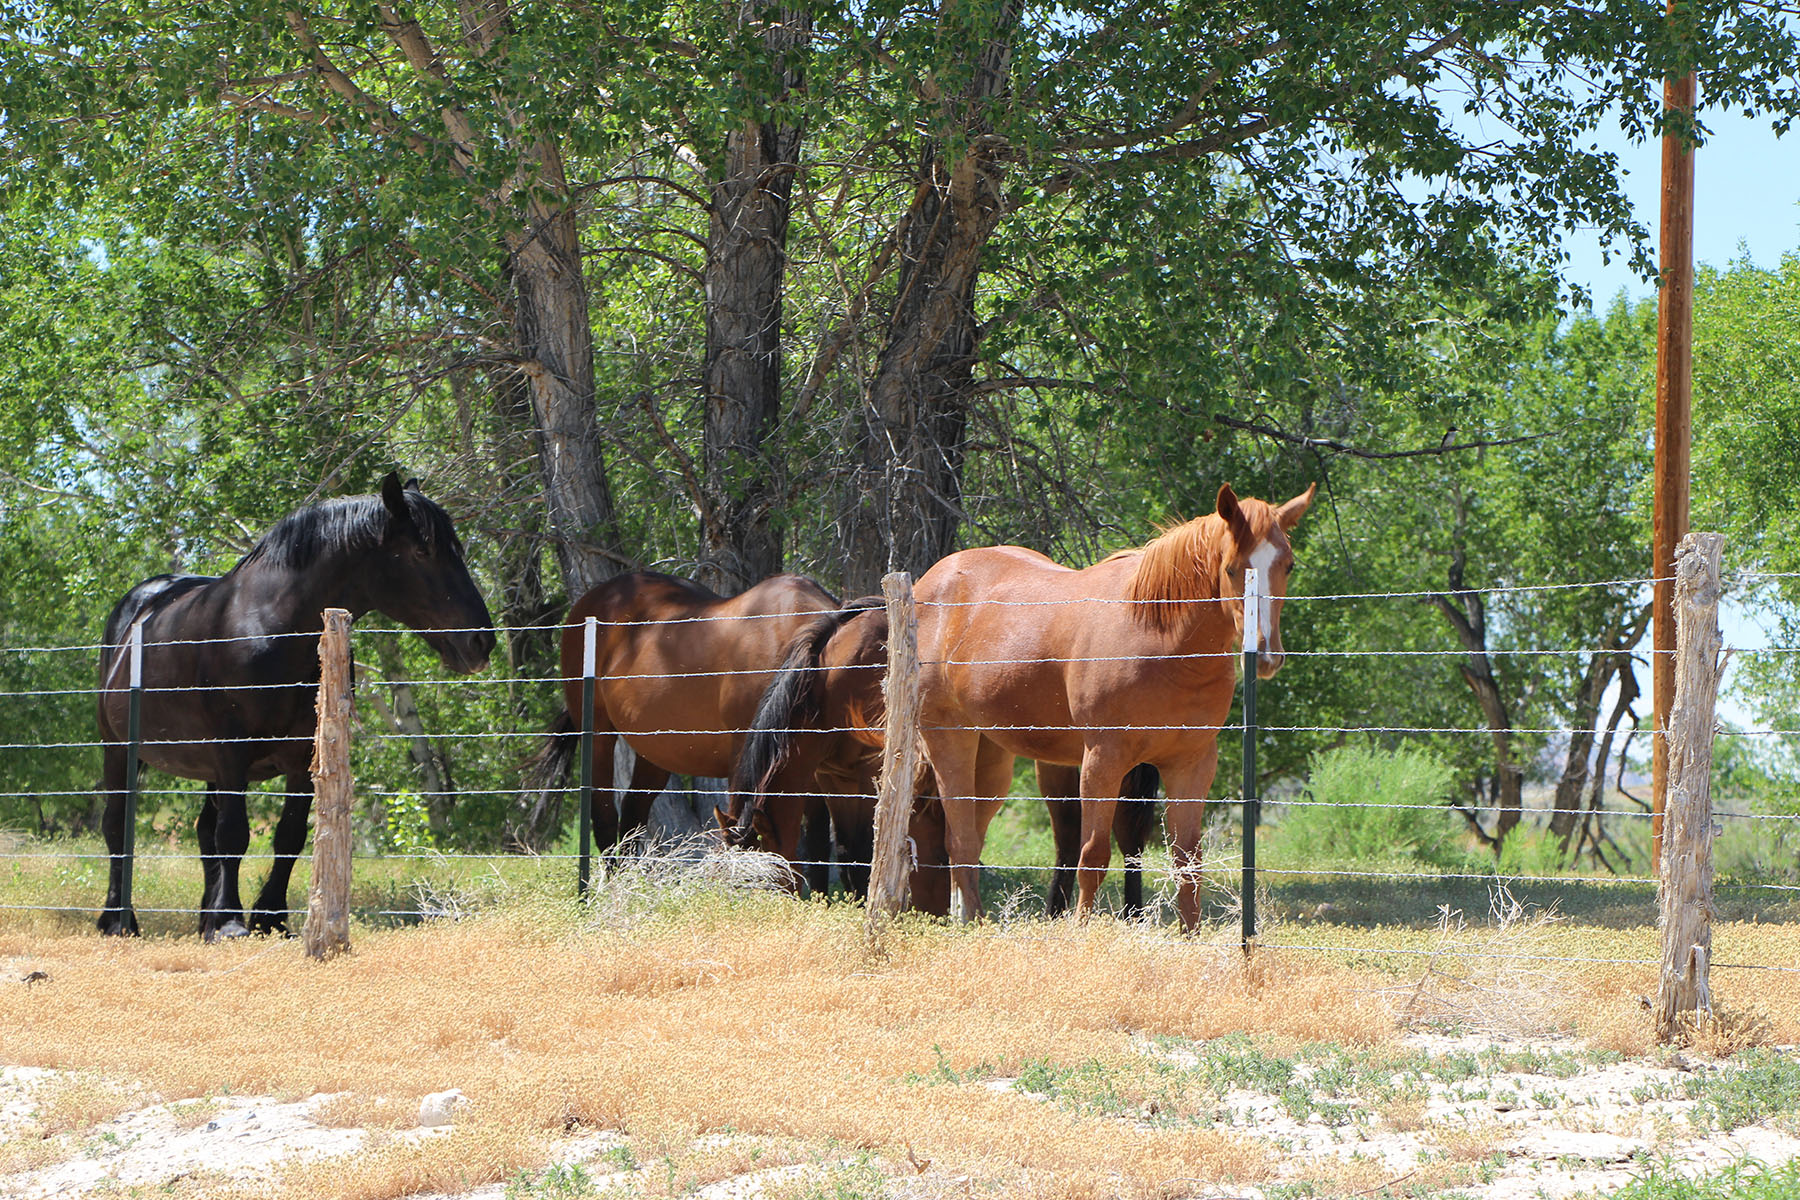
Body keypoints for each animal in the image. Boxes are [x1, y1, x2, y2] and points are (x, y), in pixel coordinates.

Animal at [96, 473, 495, 939]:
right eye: (422, 551)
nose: (481, 642)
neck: (272, 631)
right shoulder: (231, 752)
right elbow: (235, 834)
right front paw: (231, 921)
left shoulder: (303, 754)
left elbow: (287, 836)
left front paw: (269, 917)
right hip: (119, 751)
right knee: (117, 825)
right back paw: (118, 919)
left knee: (203, 830)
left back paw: (203, 920)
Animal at [914, 482, 1314, 928]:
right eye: (1231, 568)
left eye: (1288, 566)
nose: (1265, 655)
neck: (1161, 642)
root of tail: (929, 583)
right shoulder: (1103, 760)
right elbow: (1093, 856)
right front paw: (1082, 930)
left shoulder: (1190, 764)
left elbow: (1188, 862)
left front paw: (1189, 935)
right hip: (948, 738)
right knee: (960, 836)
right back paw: (974, 921)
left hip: (992, 753)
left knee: (971, 834)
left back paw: (967, 915)